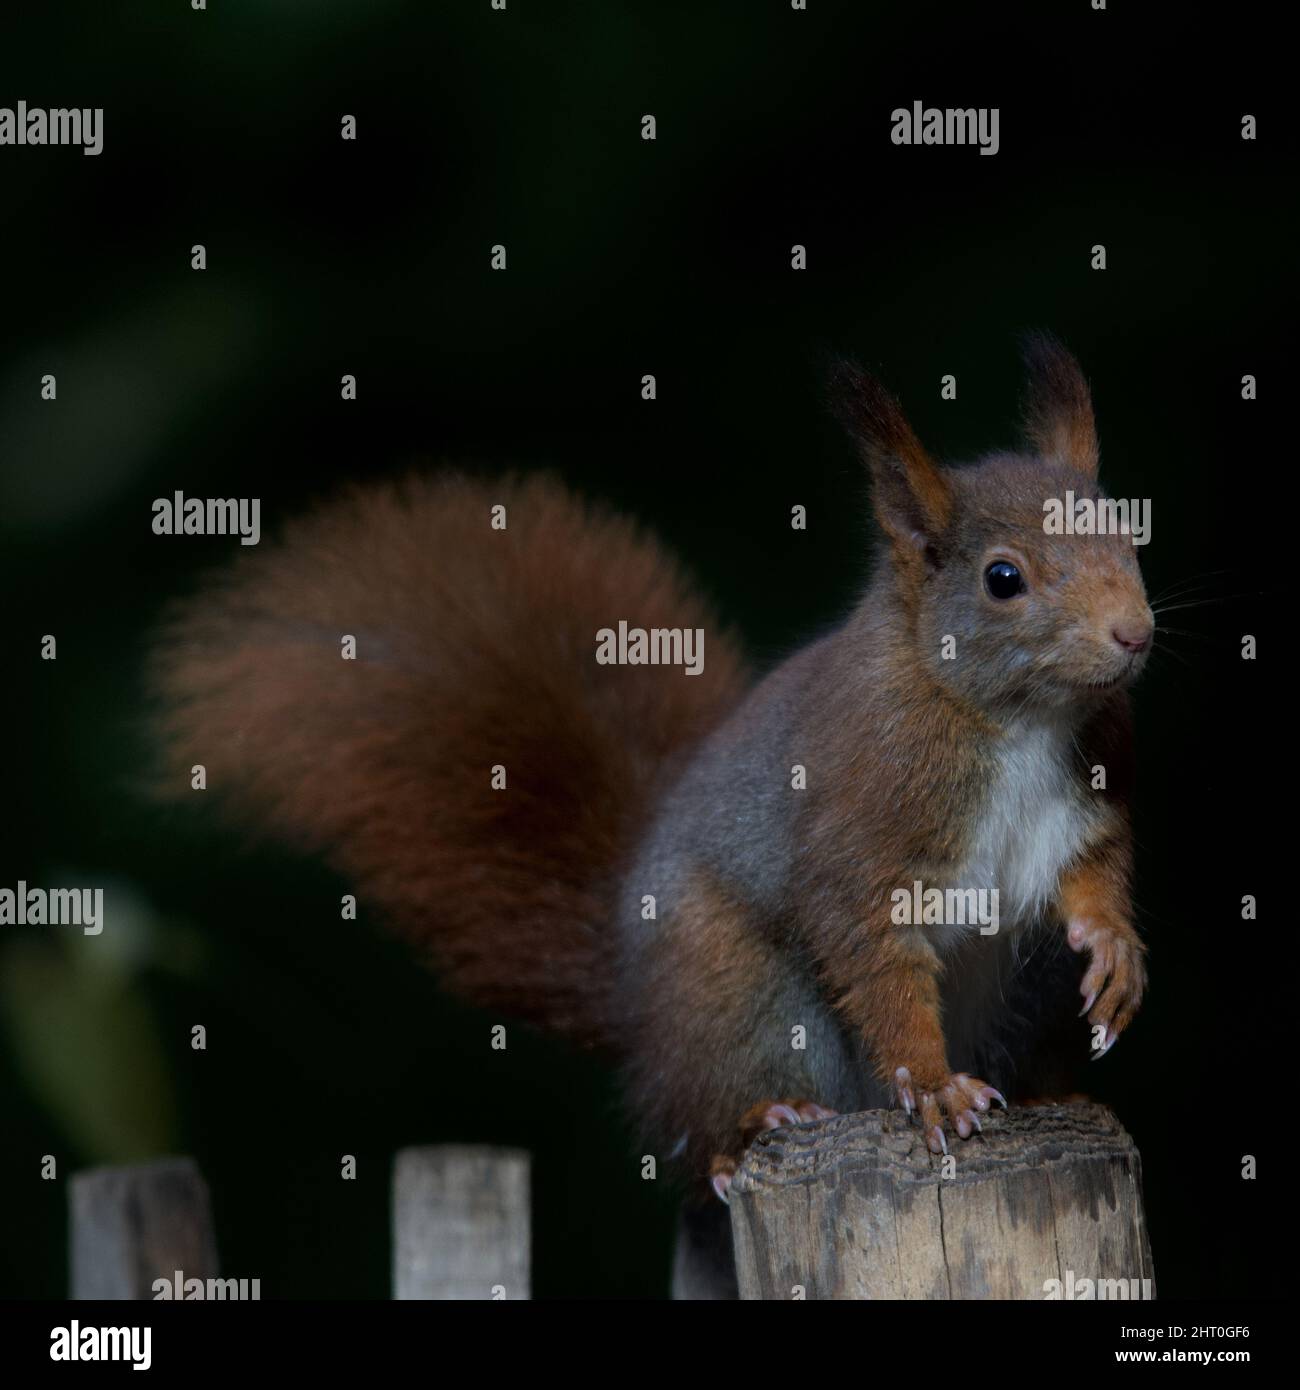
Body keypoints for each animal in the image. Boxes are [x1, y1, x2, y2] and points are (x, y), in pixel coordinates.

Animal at [152, 334, 1150, 1203]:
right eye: (1003, 579)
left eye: (1129, 535)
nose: (1135, 633)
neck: (1018, 721)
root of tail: (632, 1006)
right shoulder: (868, 820)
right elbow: (870, 948)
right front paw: (937, 1087)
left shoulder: (1083, 802)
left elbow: (1091, 879)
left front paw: (1115, 953)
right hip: (733, 992)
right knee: (702, 1132)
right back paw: (754, 1127)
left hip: (1021, 992)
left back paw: (1055, 1093)